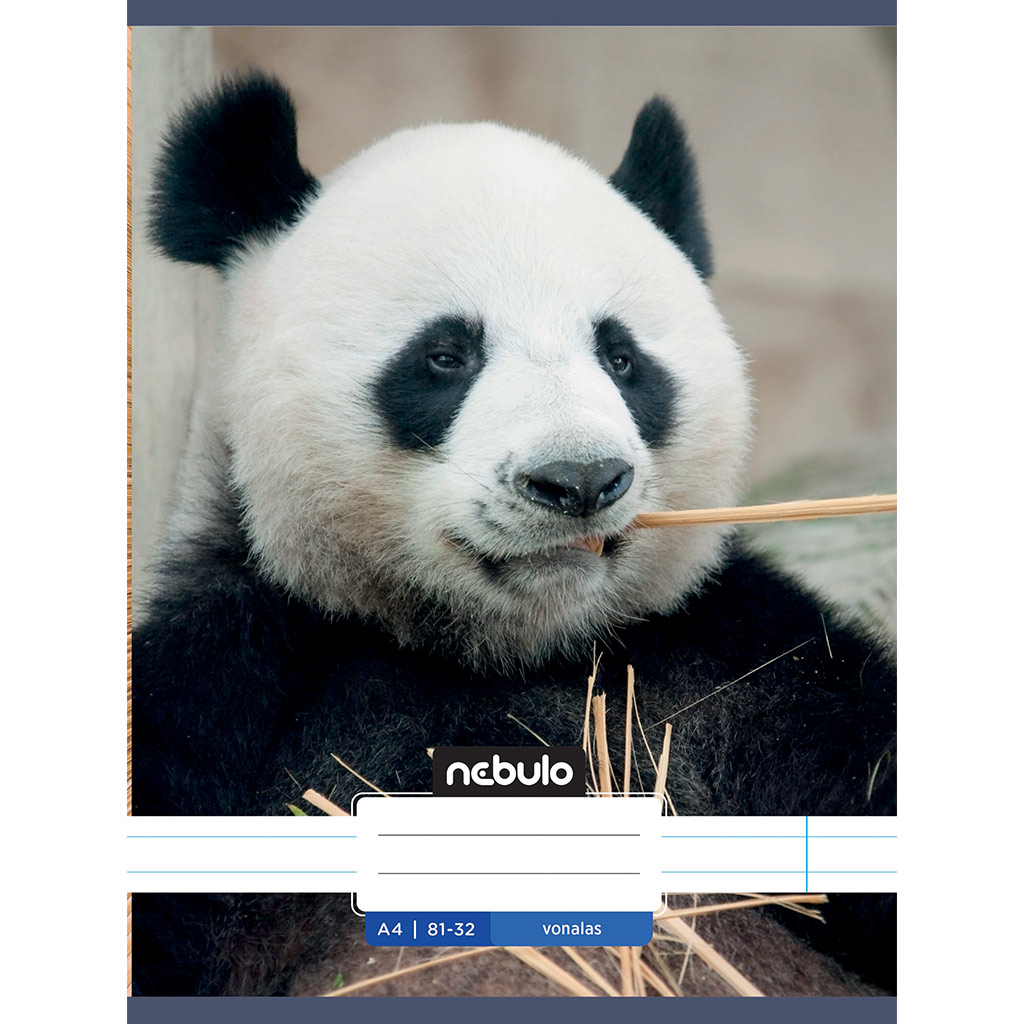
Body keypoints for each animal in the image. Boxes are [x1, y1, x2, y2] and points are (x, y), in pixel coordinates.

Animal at [131, 72, 896, 997]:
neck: (504, 653)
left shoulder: (739, 670)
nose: (579, 481)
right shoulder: (235, 688)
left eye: (621, 357)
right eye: (446, 354)